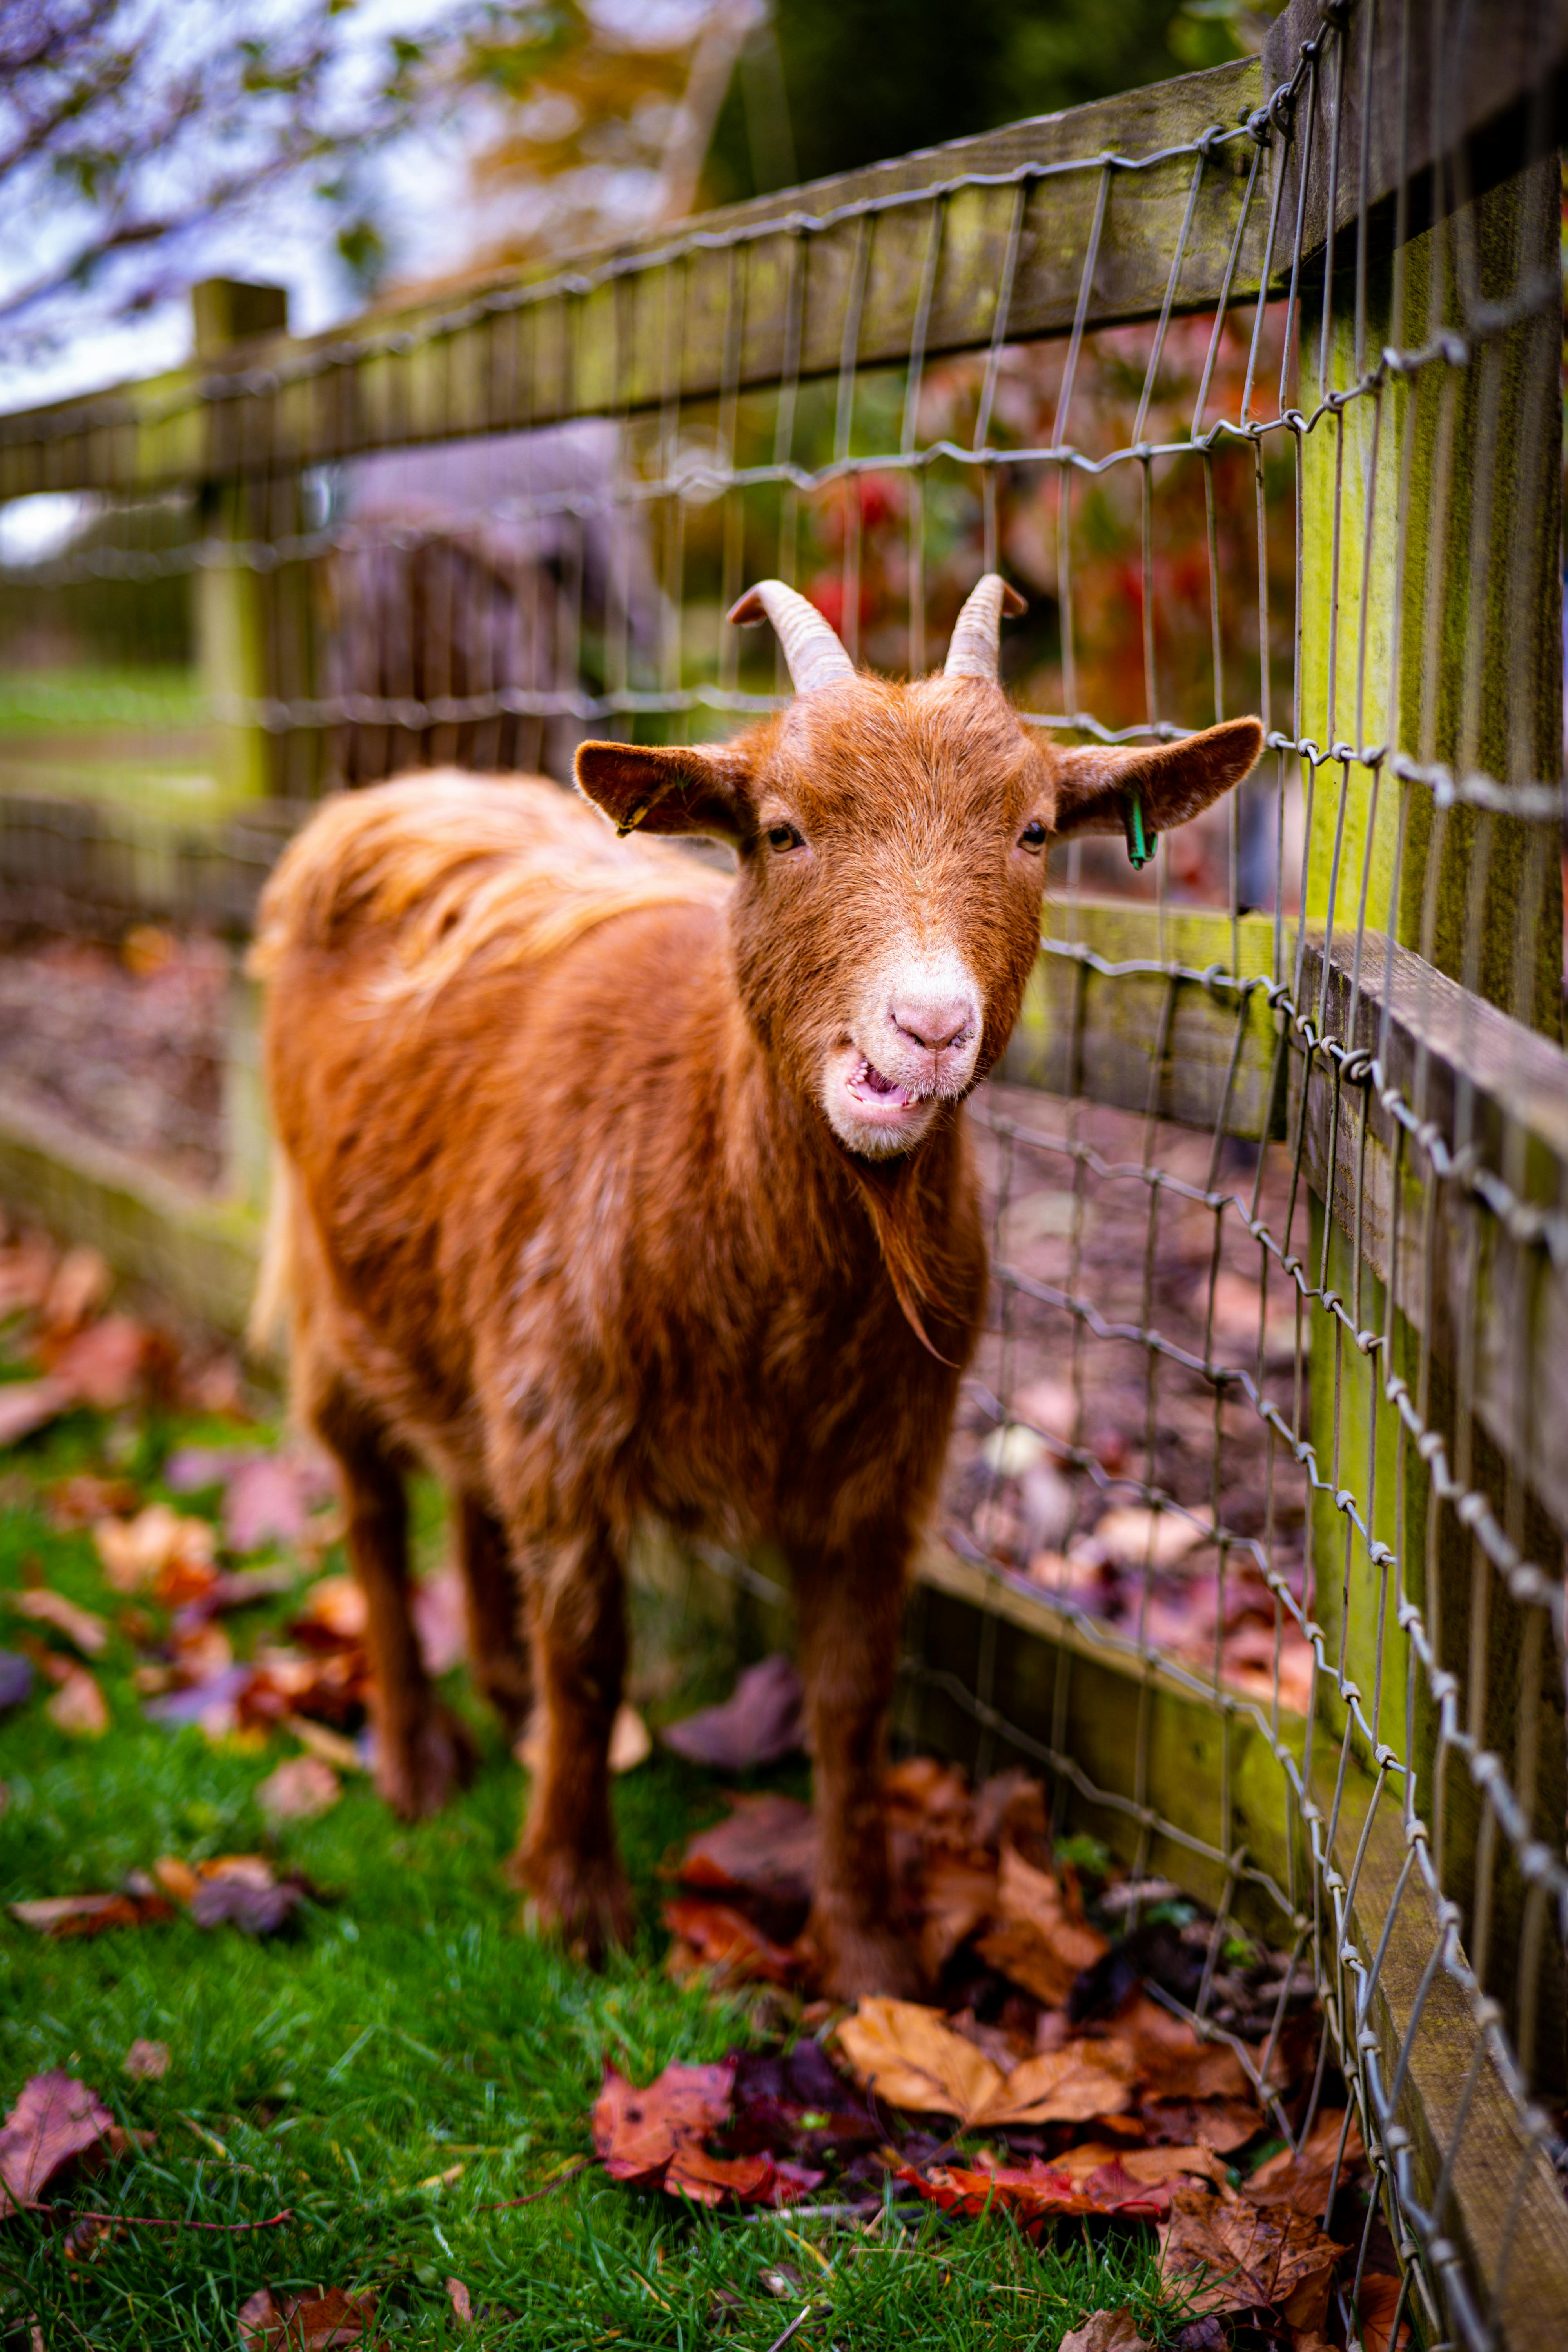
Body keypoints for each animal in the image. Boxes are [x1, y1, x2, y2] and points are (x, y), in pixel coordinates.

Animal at [251, 575, 1261, 1996]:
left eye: (1032, 832)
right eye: (781, 831)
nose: (929, 1027)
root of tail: (398, 795)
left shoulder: (883, 1467)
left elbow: (849, 1697)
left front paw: (872, 1950)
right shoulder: (564, 1423)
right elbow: (593, 1660)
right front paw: (573, 1901)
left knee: (461, 1480)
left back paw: (496, 1697)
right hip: (327, 1283)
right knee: (372, 1506)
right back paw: (416, 1760)